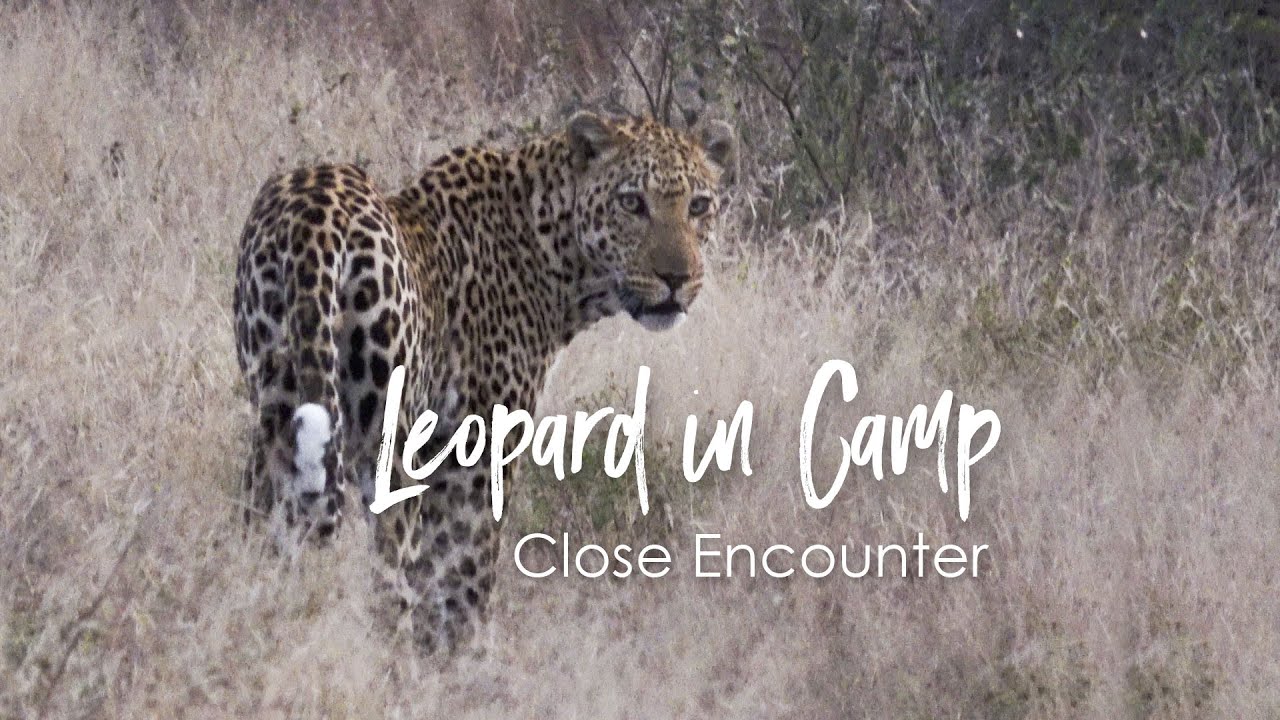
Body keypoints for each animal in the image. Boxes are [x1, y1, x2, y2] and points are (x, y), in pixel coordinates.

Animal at [232, 111, 736, 653]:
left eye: (698, 206)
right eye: (632, 203)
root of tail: (315, 210)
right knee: (389, 575)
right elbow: (464, 571)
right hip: (387, 437)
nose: (677, 279)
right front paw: (467, 657)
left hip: (277, 406)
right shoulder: (477, 449)